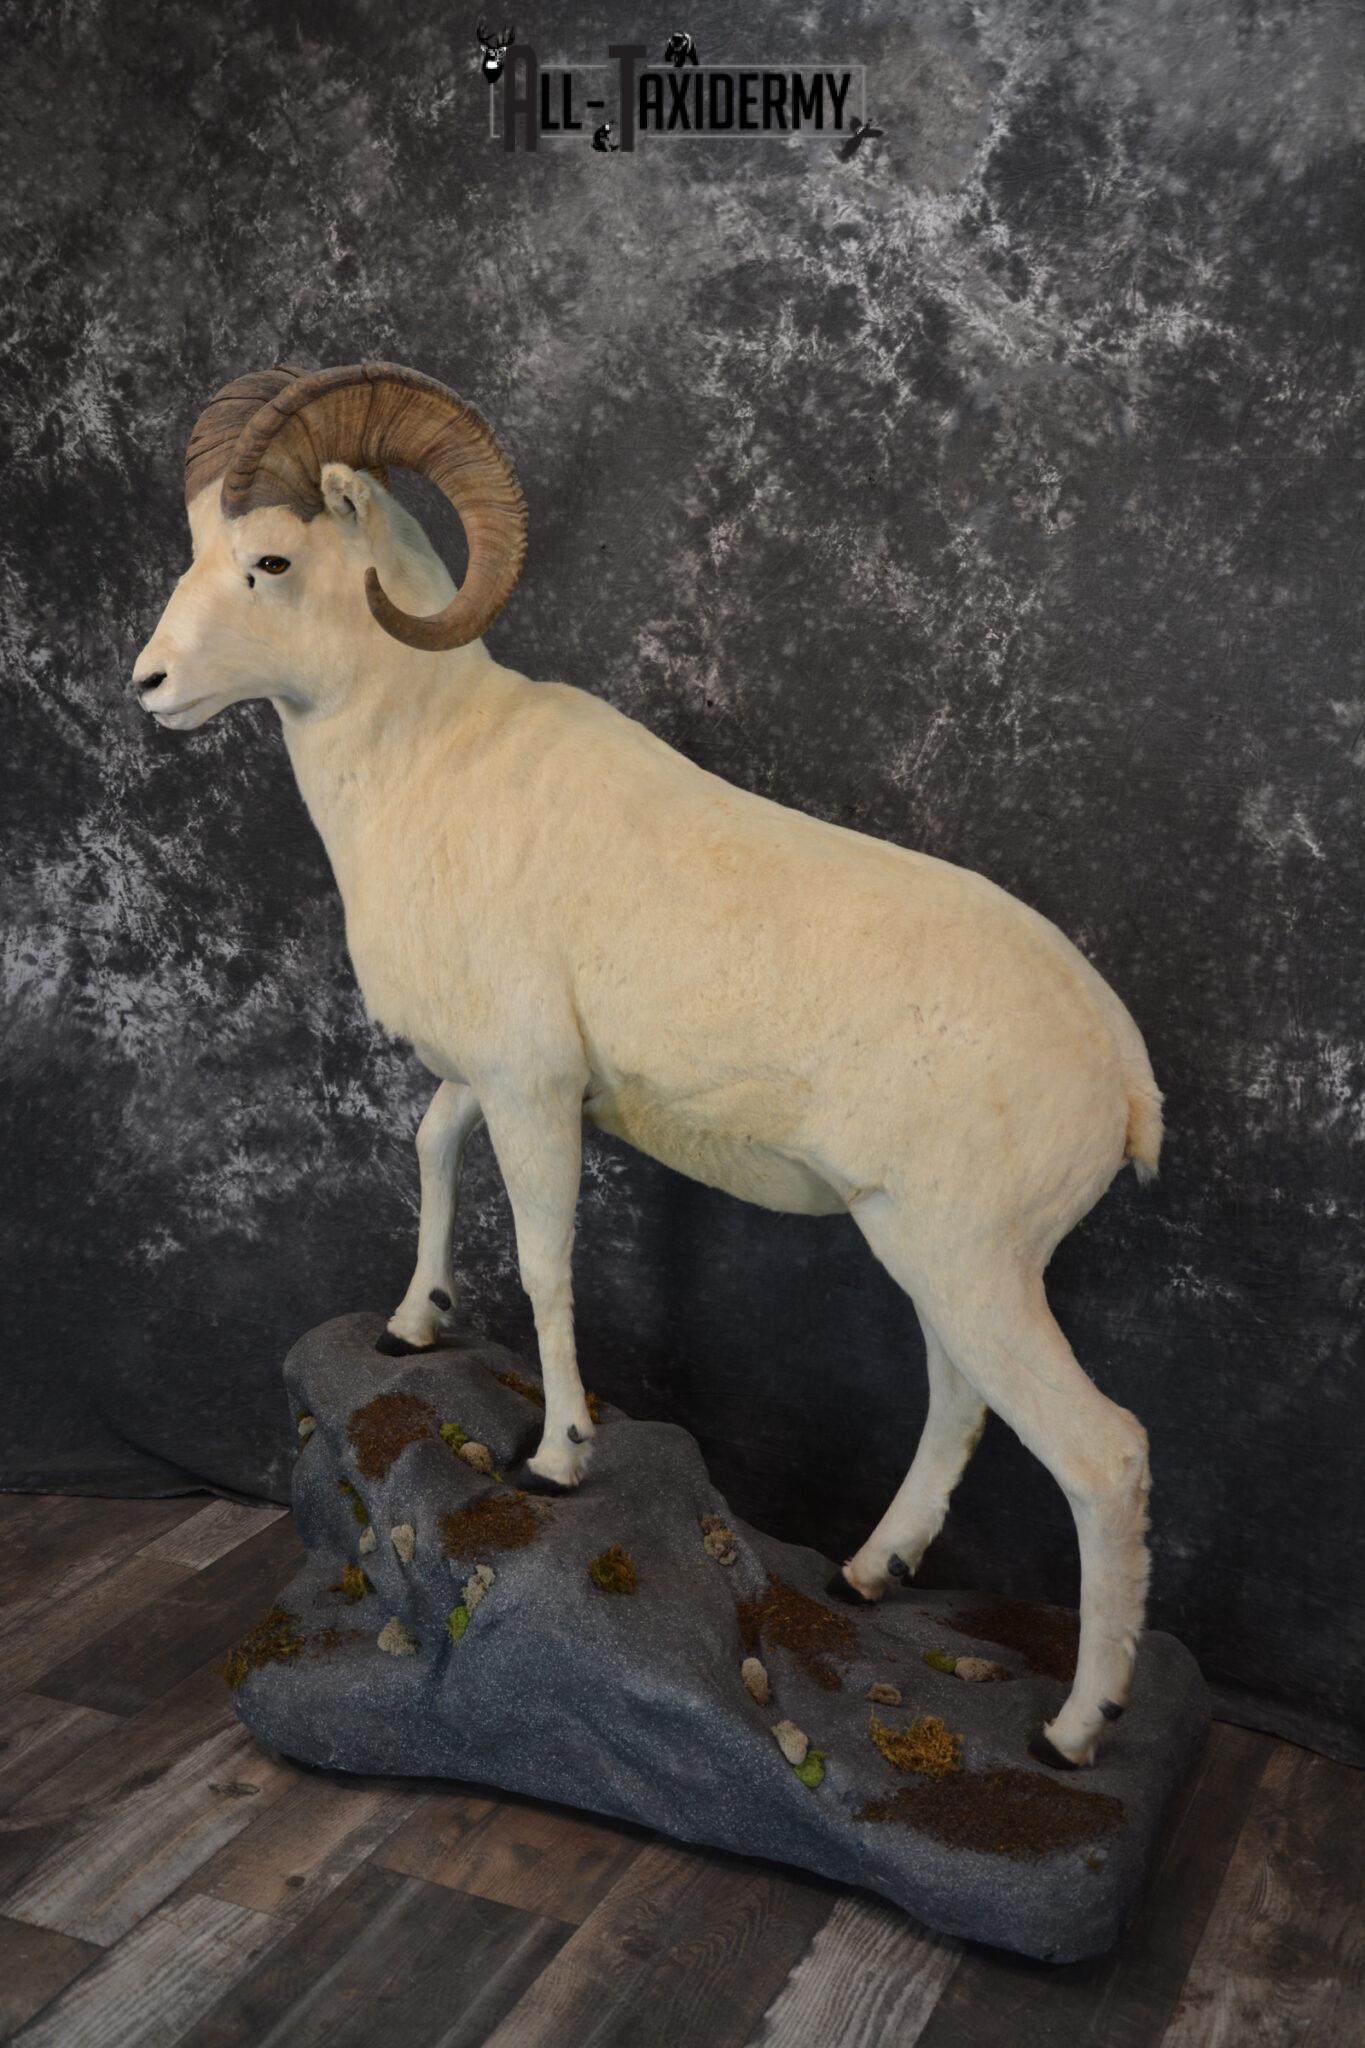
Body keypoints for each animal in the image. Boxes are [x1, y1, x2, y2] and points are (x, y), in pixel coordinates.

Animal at [134, 361, 1163, 1768]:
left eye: (272, 561)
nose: (149, 684)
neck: (425, 763)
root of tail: (1124, 1074)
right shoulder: (489, 1074)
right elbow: (430, 1149)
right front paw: (413, 1323)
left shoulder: (533, 1087)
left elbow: (545, 1258)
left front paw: (561, 1456)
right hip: (942, 1262)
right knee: (960, 1401)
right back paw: (869, 1574)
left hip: (971, 1263)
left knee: (1103, 1455)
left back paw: (1073, 1728)